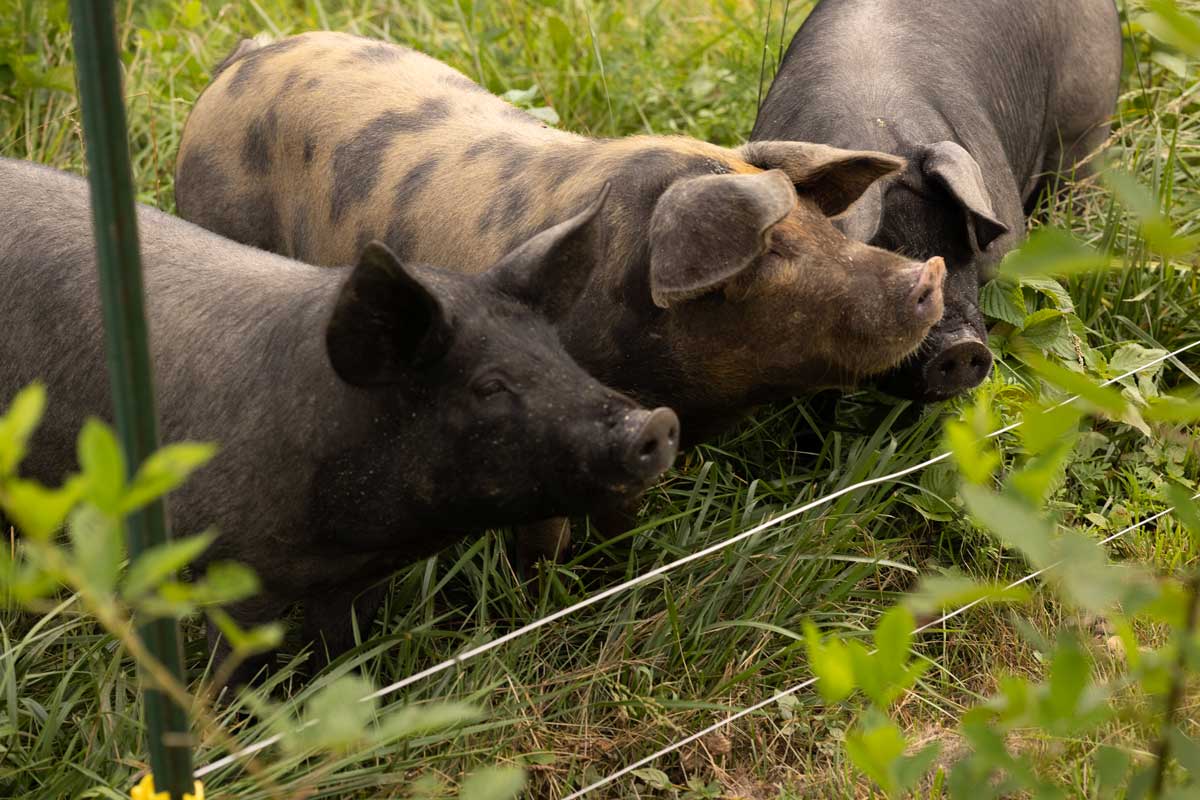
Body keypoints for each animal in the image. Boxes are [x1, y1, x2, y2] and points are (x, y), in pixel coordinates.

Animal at [0, 158, 678, 685]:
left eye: (558, 351)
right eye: (489, 386)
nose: (657, 421)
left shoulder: (355, 580)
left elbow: (341, 653)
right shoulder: (232, 567)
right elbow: (236, 667)